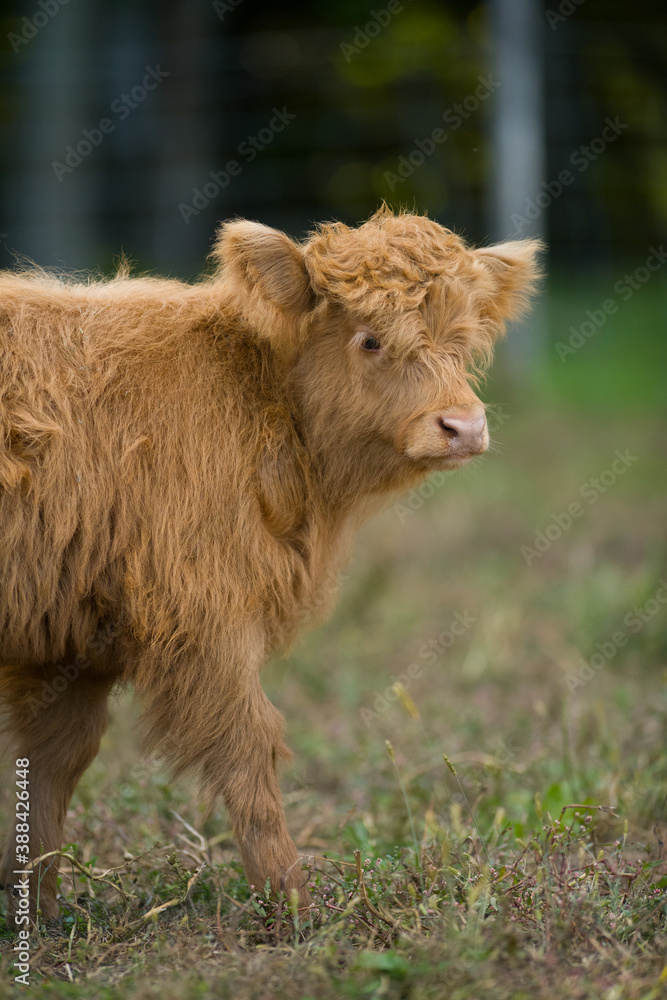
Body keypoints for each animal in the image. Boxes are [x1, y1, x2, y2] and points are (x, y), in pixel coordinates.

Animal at [0, 207, 540, 925]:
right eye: (370, 340)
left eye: (463, 339)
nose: (464, 426)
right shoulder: (203, 619)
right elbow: (248, 750)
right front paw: (295, 903)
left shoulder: (72, 642)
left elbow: (51, 765)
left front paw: (36, 910)